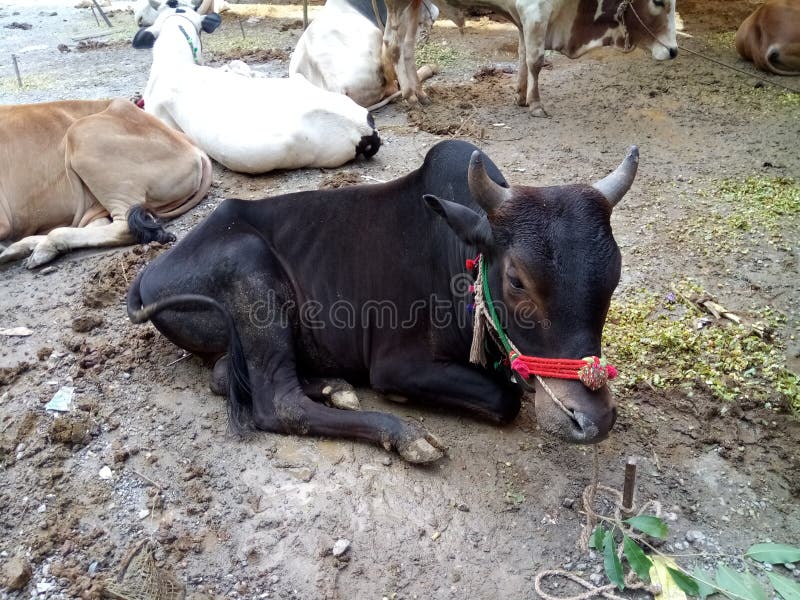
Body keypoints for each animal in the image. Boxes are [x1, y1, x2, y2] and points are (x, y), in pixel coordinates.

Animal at [126, 140, 639, 463]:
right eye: (516, 279)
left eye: (615, 274)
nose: (593, 419)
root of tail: (152, 271)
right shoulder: (396, 363)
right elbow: (505, 397)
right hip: (250, 271)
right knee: (277, 403)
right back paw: (404, 435)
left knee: (226, 375)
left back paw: (333, 386)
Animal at [382, 0, 678, 115]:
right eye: (658, 2)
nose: (674, 51)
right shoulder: (535, 13)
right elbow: (535, 60)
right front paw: (535, 104)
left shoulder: (527, 19)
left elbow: (524, 55)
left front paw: (521, 95)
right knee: (393, 45)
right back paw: (409, 96)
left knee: (406, 47)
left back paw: (420, 94)